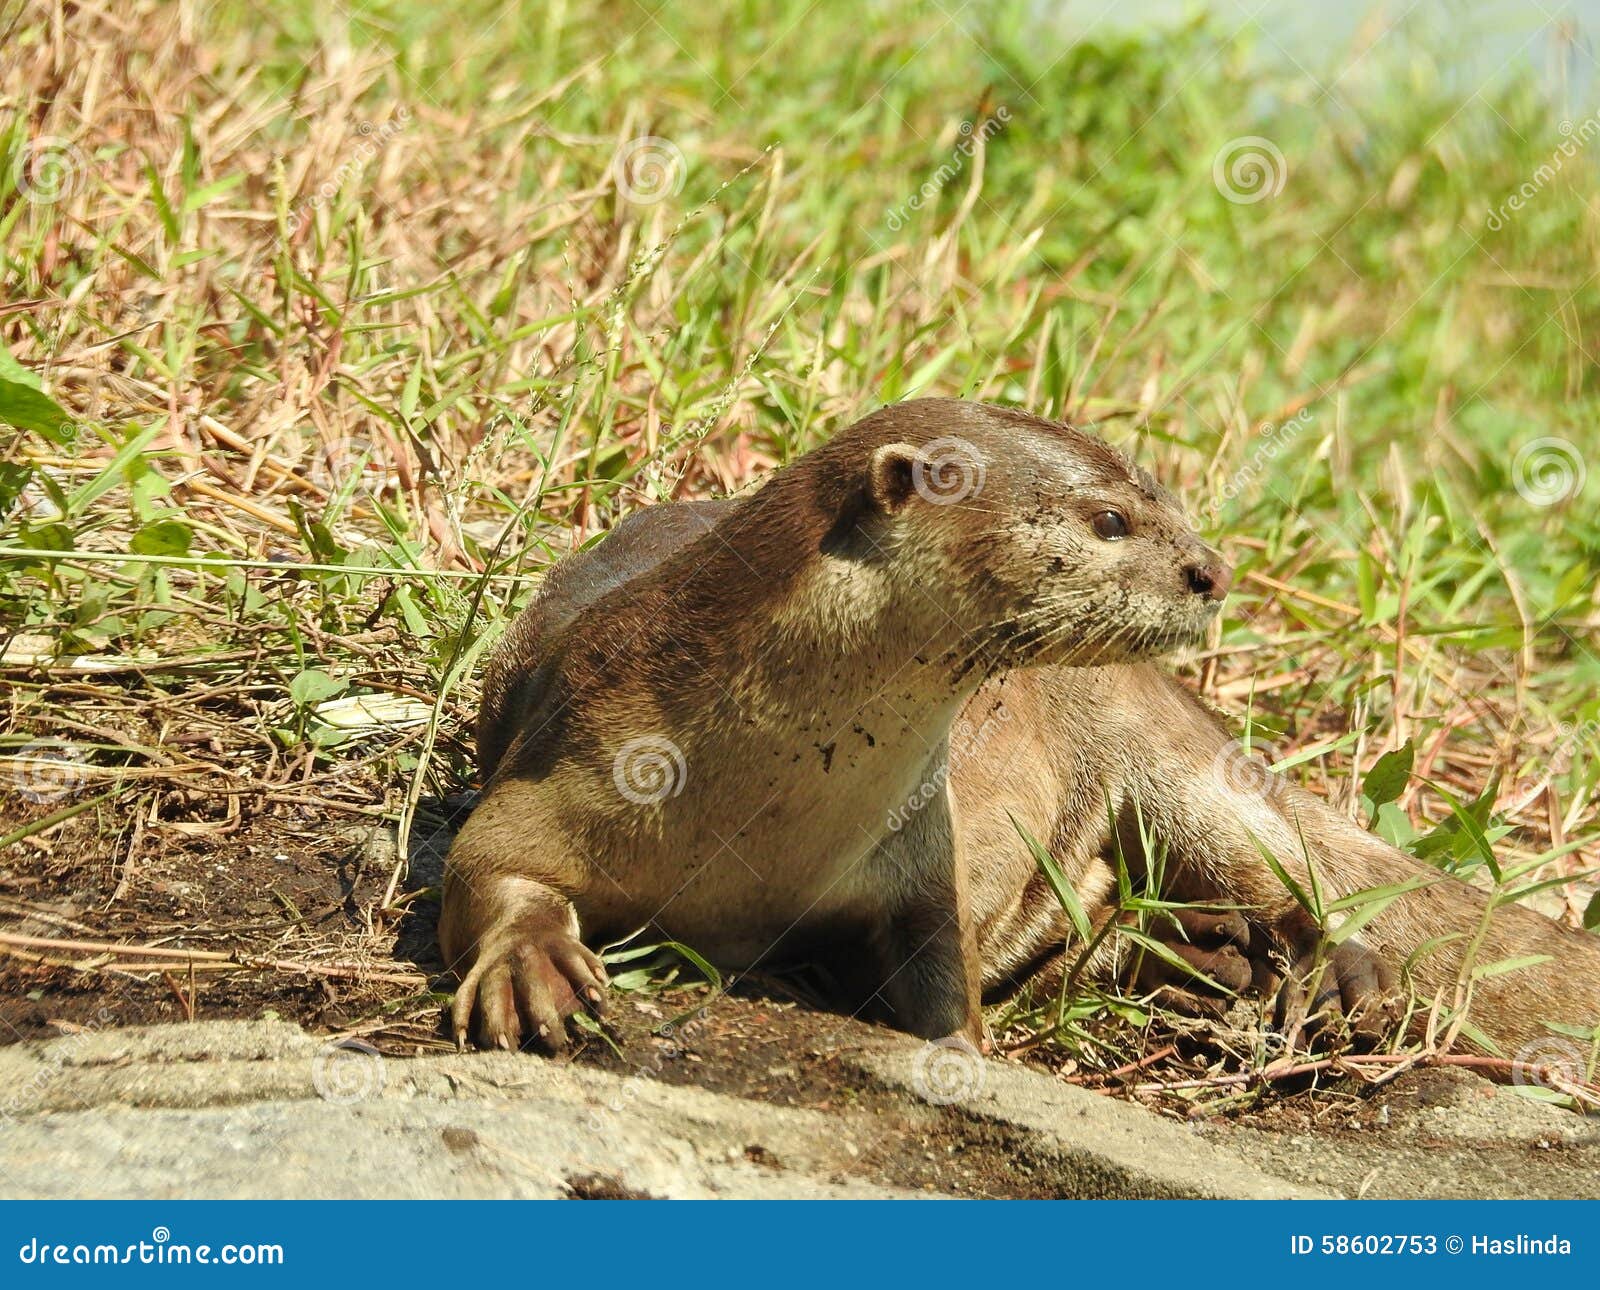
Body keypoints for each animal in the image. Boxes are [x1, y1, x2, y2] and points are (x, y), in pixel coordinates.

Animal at [440, 399, 1600, 1057]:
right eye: (1112, 519)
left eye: (1165, 501)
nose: (1213, 570)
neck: (760, 821)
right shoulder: (574, 750)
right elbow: (484, 860)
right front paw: (535, 967)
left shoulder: (924, 851)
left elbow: (942, 961)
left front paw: (968, 1047)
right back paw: (1201, 962)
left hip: (1175, 769)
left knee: (1281, 869)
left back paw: (1330, 972)